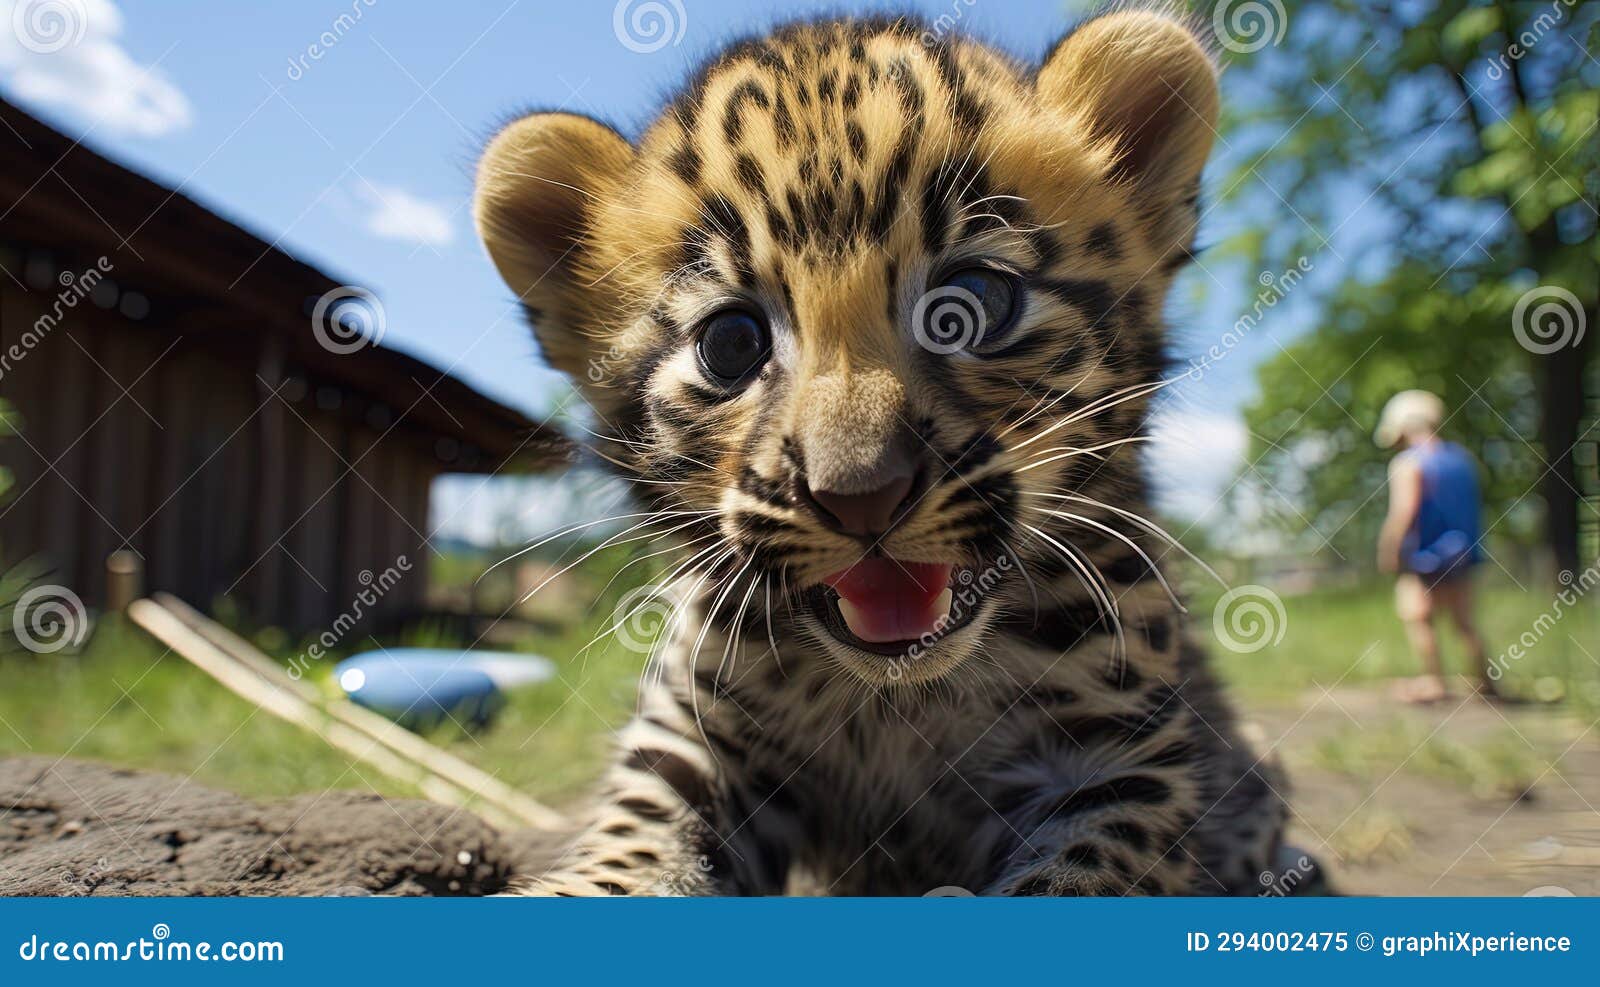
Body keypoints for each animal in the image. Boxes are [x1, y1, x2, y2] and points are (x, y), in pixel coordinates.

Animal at [473, 4, 1300, 896]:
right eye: (730, 344)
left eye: (972, 304)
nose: (861, 494)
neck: (897, 700)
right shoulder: (690, 743)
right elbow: (623, 861)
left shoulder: (1117, 759)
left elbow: (1075, 877)